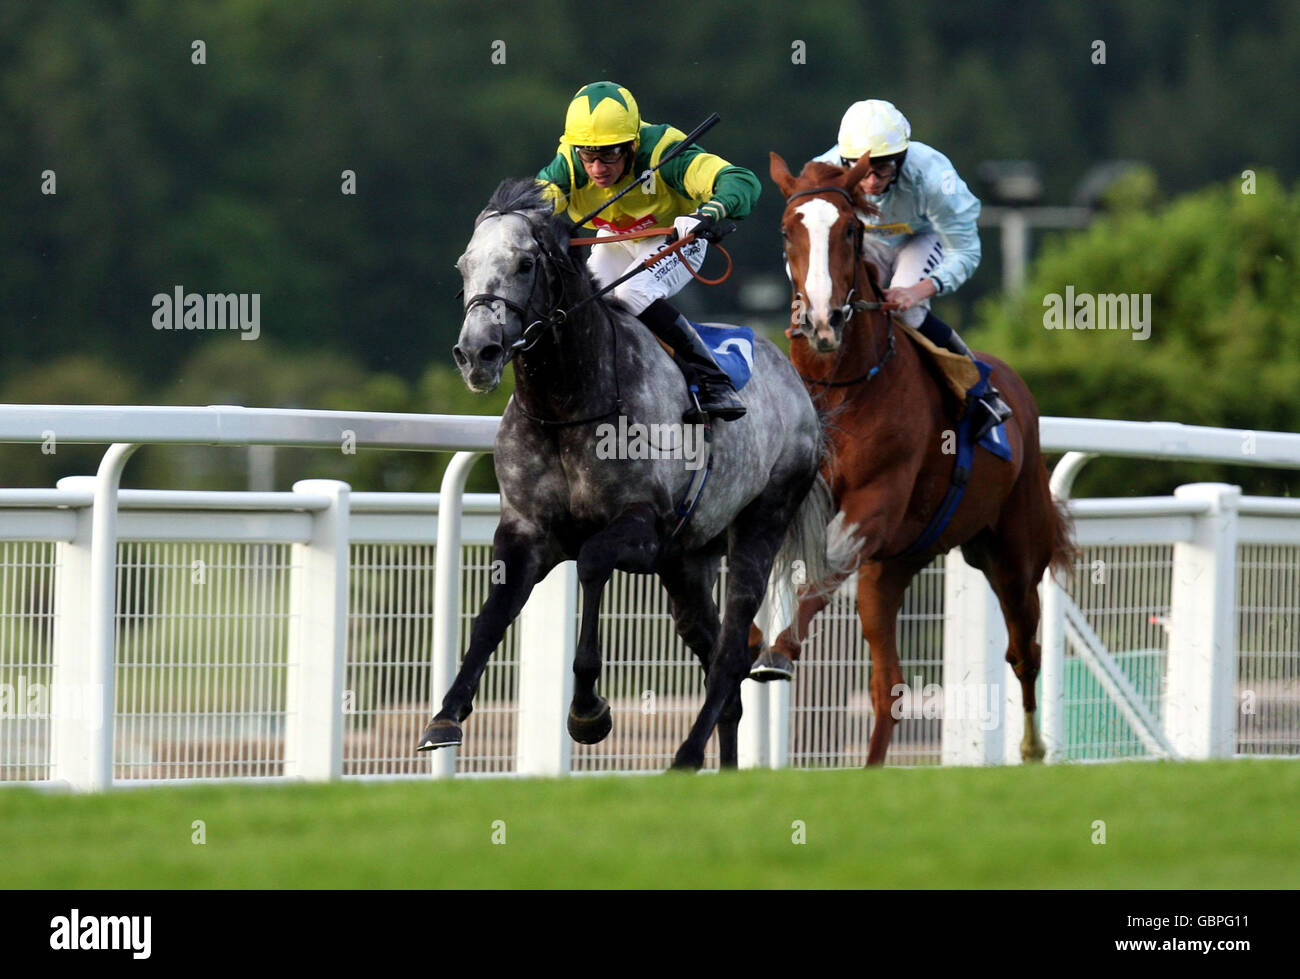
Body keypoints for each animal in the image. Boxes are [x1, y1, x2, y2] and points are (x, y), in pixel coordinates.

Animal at [417, 177, 840, 771]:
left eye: (525, 263)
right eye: (464, 266)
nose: (478, 353)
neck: (569, 404)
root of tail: (798, 386)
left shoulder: (643, 527)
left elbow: (593, 562)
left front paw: (587, 710)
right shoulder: (526, 529)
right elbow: (492, 614)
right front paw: (445, 716)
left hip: (762, 520)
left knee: (733, 653)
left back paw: (686, 754)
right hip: (687, 563)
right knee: (719, 663)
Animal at [750, 153, 1074, 765]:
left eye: (850, 232)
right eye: (785, 231)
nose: (822, 321)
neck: (840, 385)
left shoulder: (875, 503)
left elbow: (825, 563)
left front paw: (776, 648)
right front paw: (754, 635)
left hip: (1015, 555)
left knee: (1025, 652)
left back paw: (1032, 748)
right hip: (893, 567)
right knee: (890, 686)